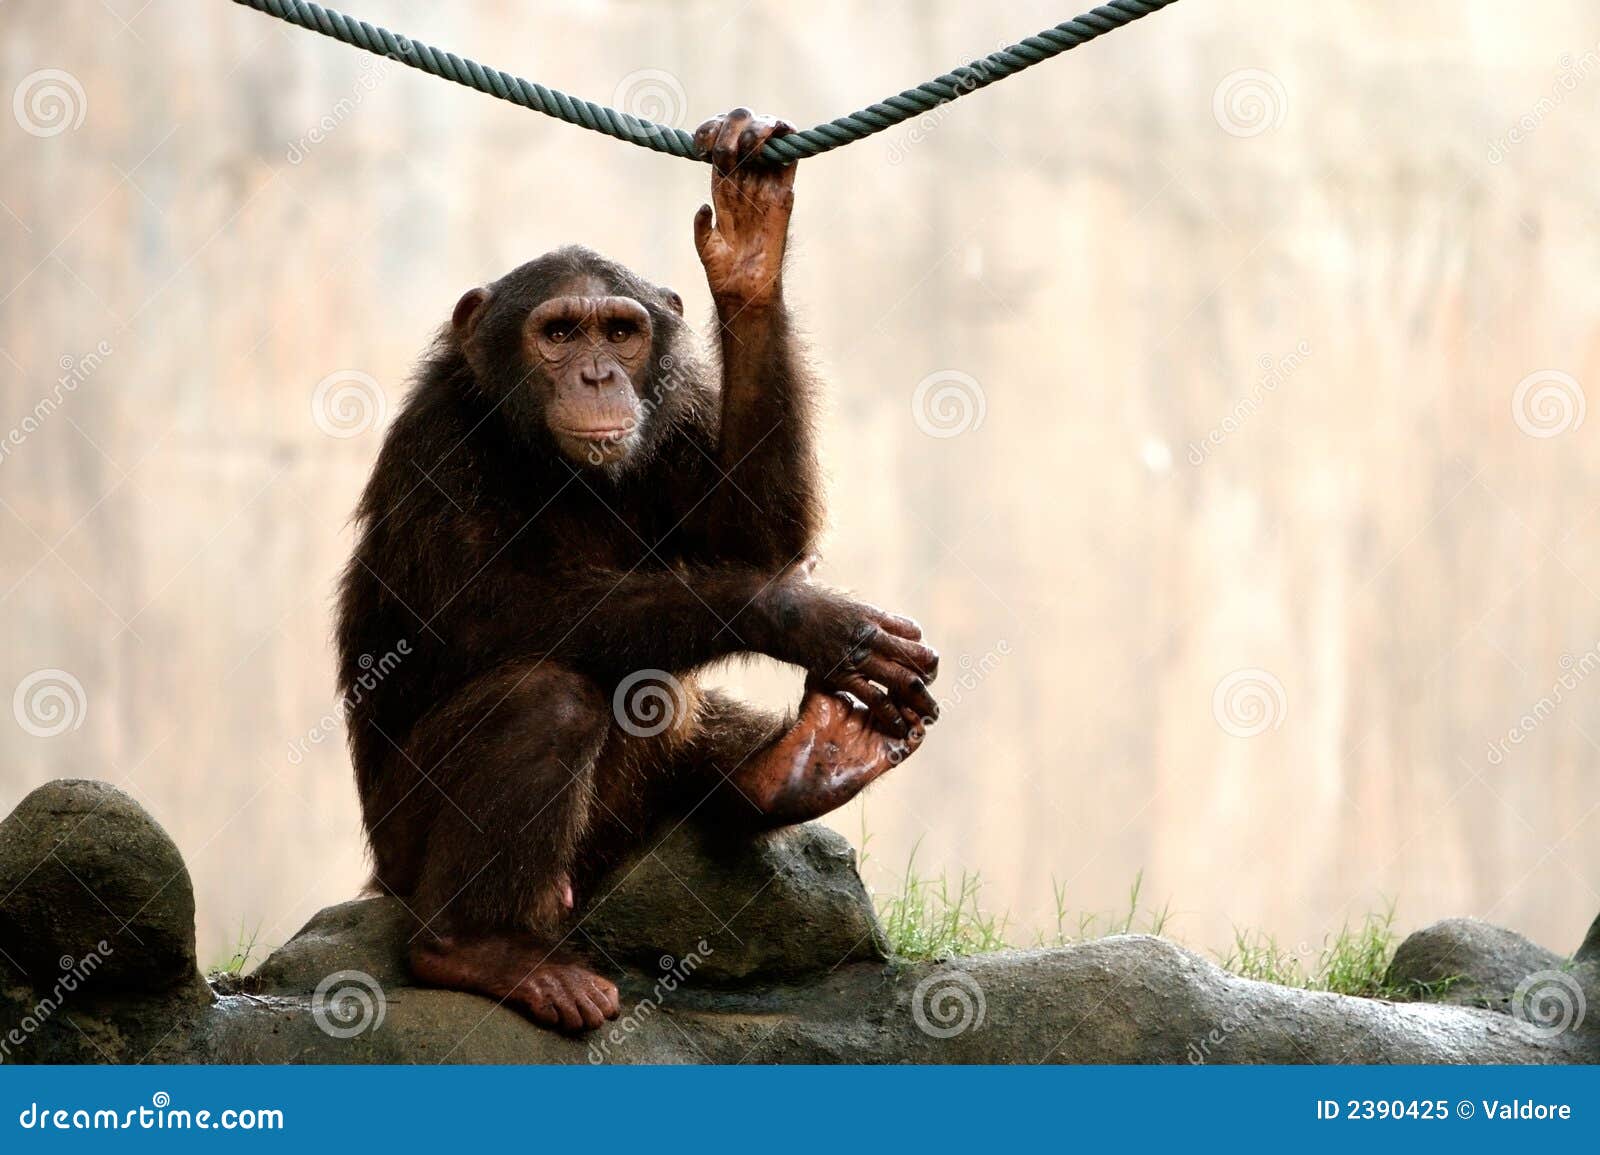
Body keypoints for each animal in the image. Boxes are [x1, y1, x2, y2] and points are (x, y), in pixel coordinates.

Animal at [335, 110, 940, 1033]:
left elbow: (751, 532)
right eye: (559, 332)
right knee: (547, 699)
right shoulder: (437, 441)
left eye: (620, 330)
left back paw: (802, 761)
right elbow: (482, 613)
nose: (597, 372)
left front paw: (750, 249)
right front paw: (803, 615)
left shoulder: (681, 404)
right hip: (404, 850)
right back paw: (483, 950)